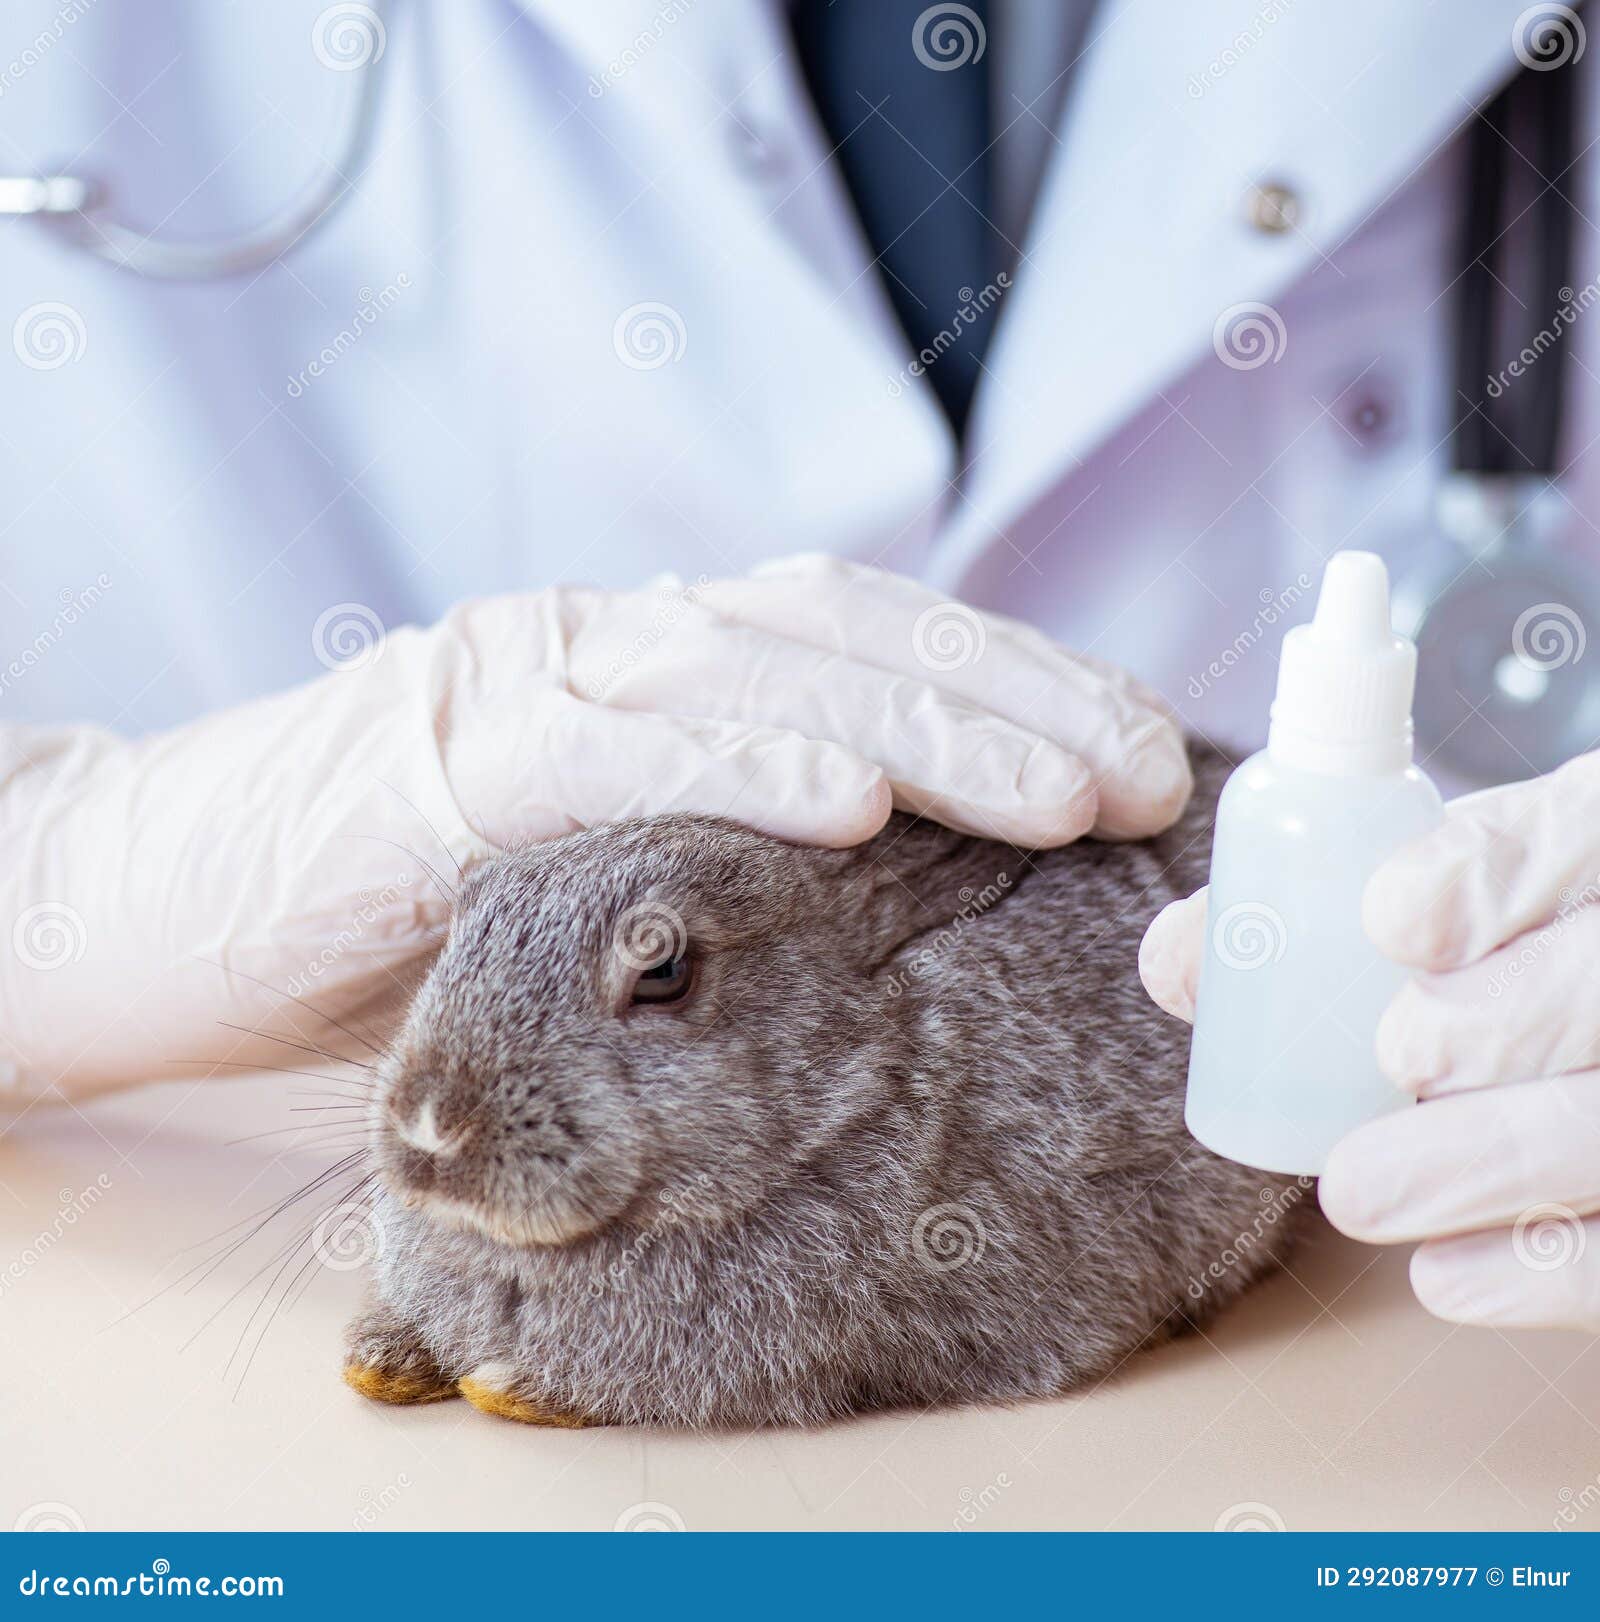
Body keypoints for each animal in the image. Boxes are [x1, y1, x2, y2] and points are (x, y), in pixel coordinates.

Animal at [341, 739, 1311, 1429]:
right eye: (461, 926)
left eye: (665, 971)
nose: (430, 1126)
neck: (849, 1095)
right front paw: (383, 1356)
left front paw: (509, 1383)